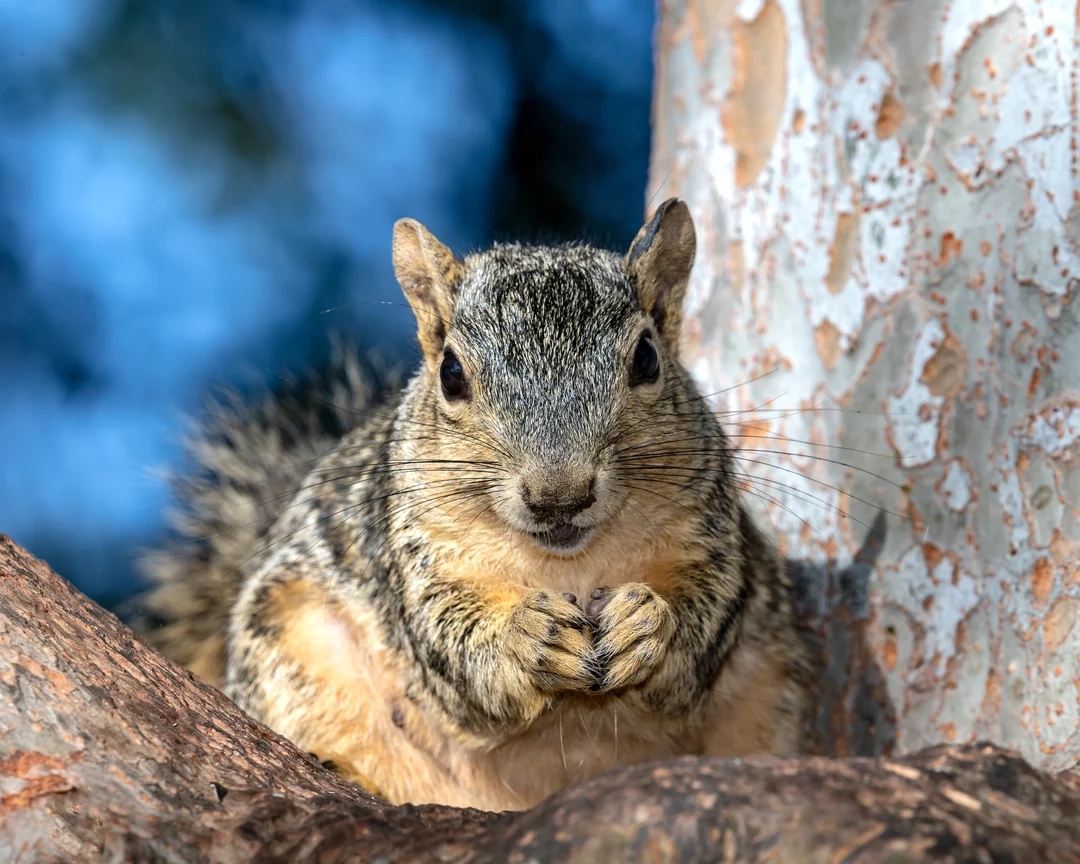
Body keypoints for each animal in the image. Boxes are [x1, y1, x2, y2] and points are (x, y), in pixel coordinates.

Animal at [132, 199, 811, 811]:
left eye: (647, 358)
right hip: (290, 635)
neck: (568, 562)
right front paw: (527, 639)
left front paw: (646, 624)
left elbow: (703, 624)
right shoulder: (413, 555)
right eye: (451, 373)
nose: (559, 495)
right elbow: (452, 646)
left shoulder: (711, 536)